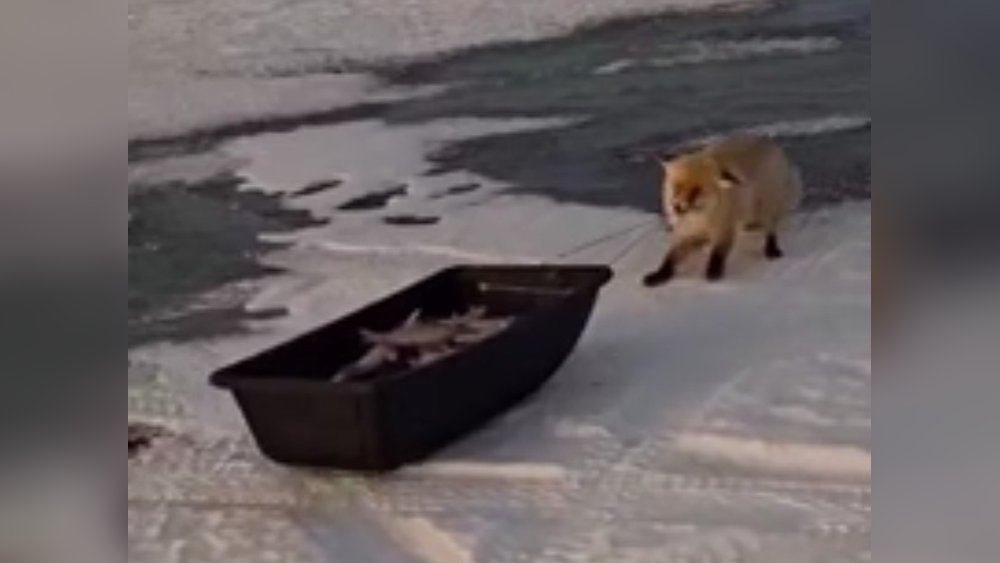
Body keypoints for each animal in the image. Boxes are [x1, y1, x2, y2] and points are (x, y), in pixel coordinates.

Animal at [643, 133, 802, 286]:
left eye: (696, 191)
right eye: (677, 187)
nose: (677, 207)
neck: (700, 219)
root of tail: (767, 139)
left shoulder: (724, 229)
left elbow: (717, 254)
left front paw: (713, 272)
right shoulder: (686, 233)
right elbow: (670, 257)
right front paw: (659, 275)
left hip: (767, 205)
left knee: (770, 229)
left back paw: (771, 249)